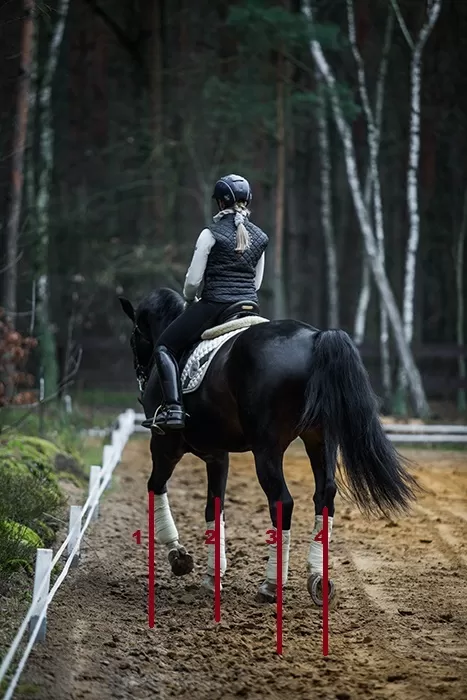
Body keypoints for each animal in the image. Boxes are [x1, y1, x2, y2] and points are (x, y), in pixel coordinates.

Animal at [119, 288, 416, 604]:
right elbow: (214, 507)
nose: (140, 381)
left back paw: (272, 584)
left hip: (266, 449)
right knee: (324, 495)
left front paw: (178, 555)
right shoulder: (217, 455)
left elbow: (155, 488)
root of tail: (315, 338)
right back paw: (317, 578)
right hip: (320, 439)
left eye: (134, 335)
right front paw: (213, 576)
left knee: (282, 502)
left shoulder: (164, 445)